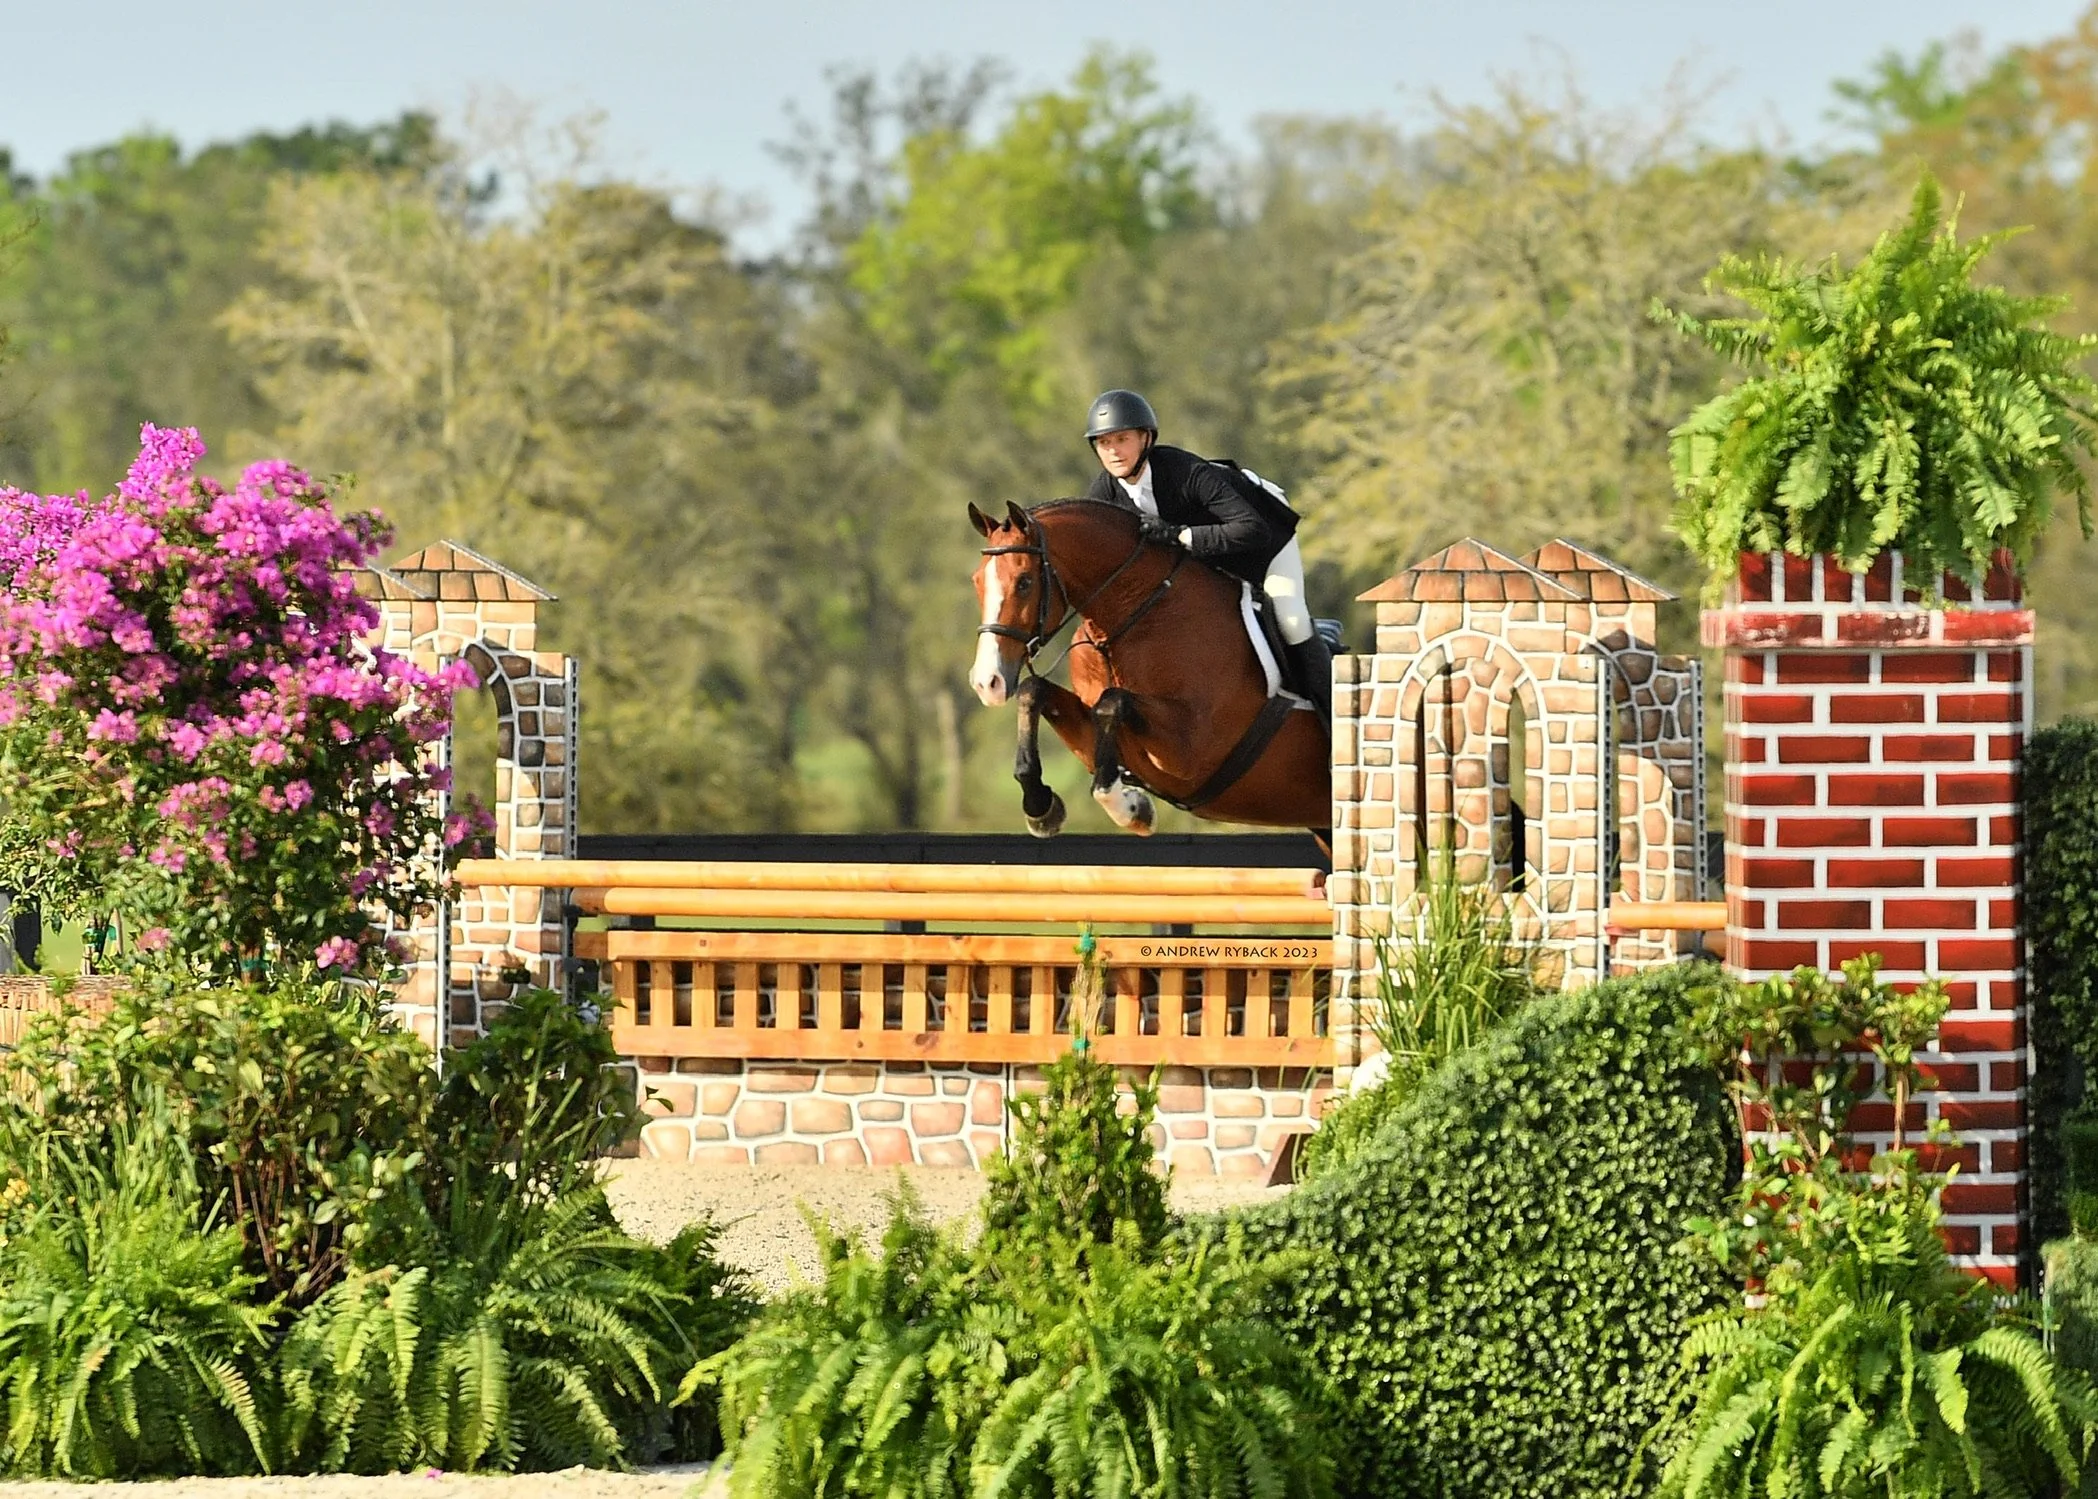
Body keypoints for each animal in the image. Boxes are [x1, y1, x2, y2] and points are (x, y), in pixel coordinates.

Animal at [967, 498, 1331, 852]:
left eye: (1024, 582)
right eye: (977, 581)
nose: (987, 683)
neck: (1132, 620)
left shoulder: (1190, 750)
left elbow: (1112, 703)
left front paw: (1131, 809)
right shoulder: (1091, 730)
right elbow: (1033, 690)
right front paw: (1042, 807)